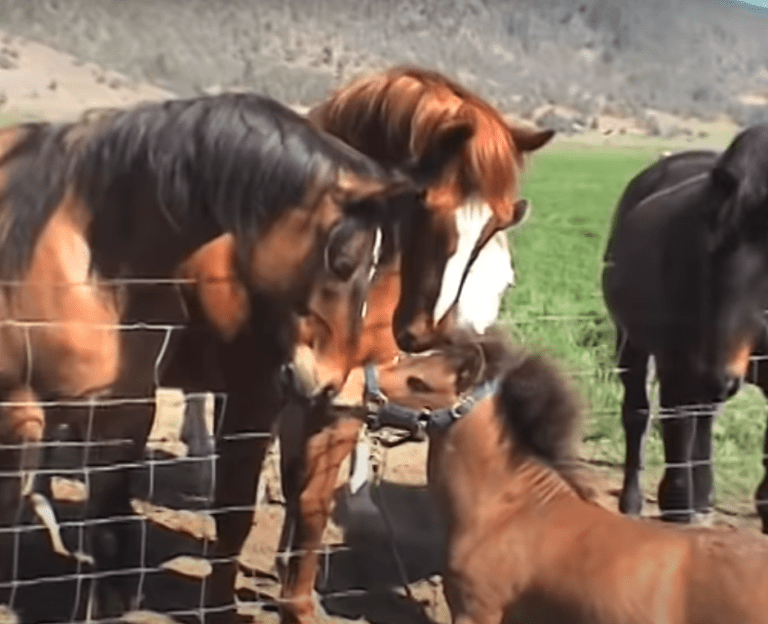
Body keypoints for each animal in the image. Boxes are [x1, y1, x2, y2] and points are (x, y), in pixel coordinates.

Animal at [275, 66, 552, 624]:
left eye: (498, 222)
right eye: (426, 199)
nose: (428, 332)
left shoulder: (341, 391)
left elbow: (310, 494)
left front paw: (296, 593)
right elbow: (298, 487)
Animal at [603, 126, 768, 530]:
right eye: (712, 247)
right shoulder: (677, 362)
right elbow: (676, 429)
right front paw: (677, 506)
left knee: (703, 417)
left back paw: (705, 496)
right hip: (632, 344)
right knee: (640, 415)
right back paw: (635, 501)